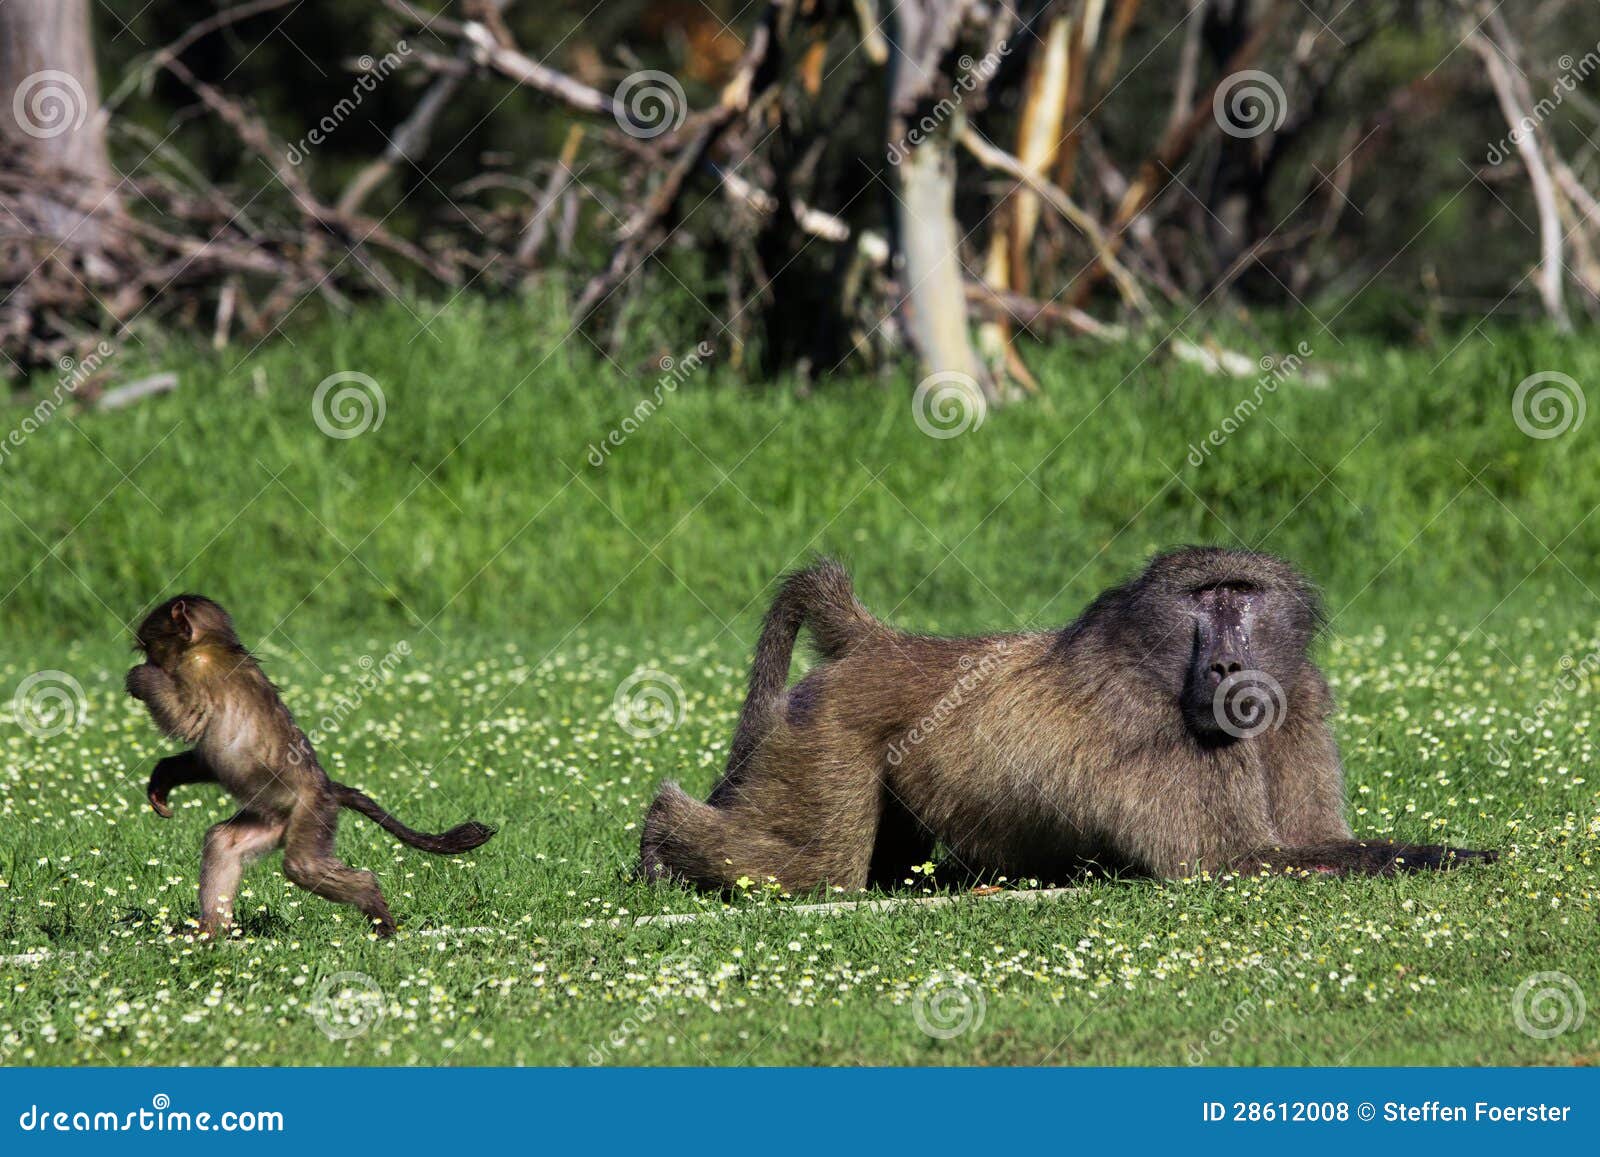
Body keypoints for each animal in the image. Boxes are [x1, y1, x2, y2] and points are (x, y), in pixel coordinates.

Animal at [125, 595, 495, 937]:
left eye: (149, 649)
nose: (148, 661)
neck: (212, 644)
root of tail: (328, 787)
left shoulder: (198, 672)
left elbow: (187, 719)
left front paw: (140, 678)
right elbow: (205, 757)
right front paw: (162, 782)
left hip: (312, 814)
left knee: (302, 866)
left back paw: (377, 910)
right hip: (273, 821)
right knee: (223, 843)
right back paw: (210, 933)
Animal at [640, 549, 1497, 892]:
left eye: (1243, 595)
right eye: (1203, 598)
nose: (1227, 669)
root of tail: (881, 640)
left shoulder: (1298, 707)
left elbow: (1321, 839)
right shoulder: (1156, 732)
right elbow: (1233, 861)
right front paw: (1456, 857)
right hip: (828, 732)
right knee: (814, 870)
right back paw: (658, 838)